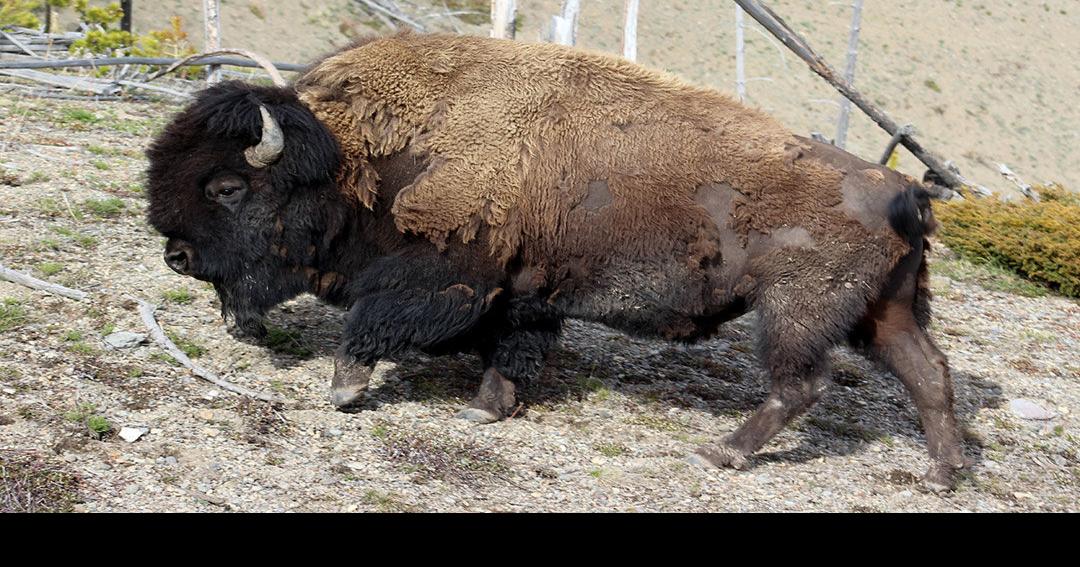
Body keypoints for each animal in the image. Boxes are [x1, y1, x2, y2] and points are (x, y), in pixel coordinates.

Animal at [146, 33, 969, 490]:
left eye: (226, 186)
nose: (176, 255)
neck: (354, 156)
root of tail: (900, 187)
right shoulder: (523, 294)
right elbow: (514, 348)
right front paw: (488, 406)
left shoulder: (443, 278)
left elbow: (373, 325)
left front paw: (345, 391)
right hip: (885, 311)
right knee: (929, 374)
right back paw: (942, 475)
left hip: (796, 312)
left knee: (802, 384)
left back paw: (720, 453)